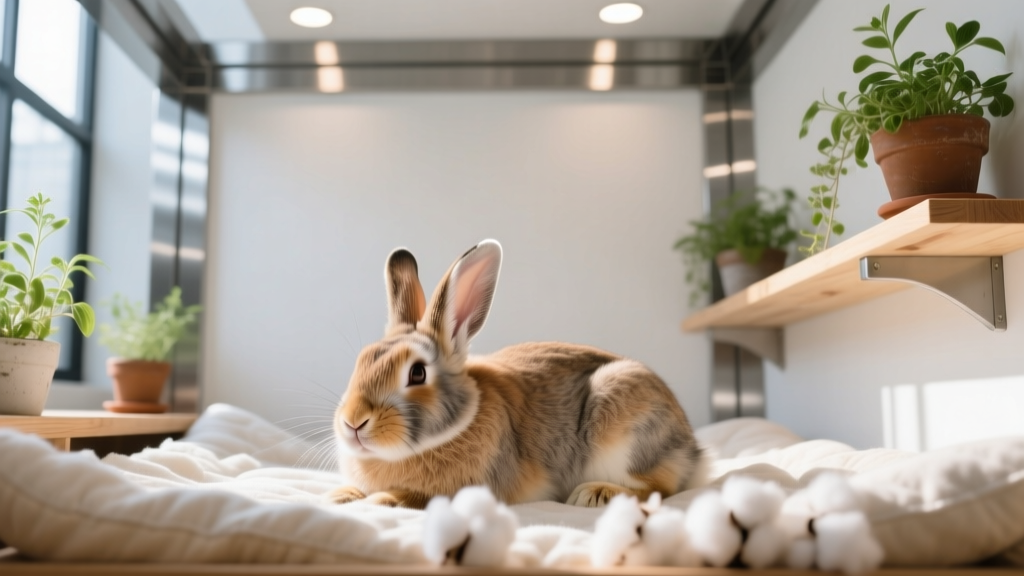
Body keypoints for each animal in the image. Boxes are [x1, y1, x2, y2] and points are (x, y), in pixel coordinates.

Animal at [329, 239, 704, 509]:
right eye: (361, 361)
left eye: (417, 373)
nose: (353, 422)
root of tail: (693, 452)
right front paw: (340, 496)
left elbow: (416, 497)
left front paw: (382, 499)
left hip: (625, 426)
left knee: (658, 489)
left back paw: (595, 494)